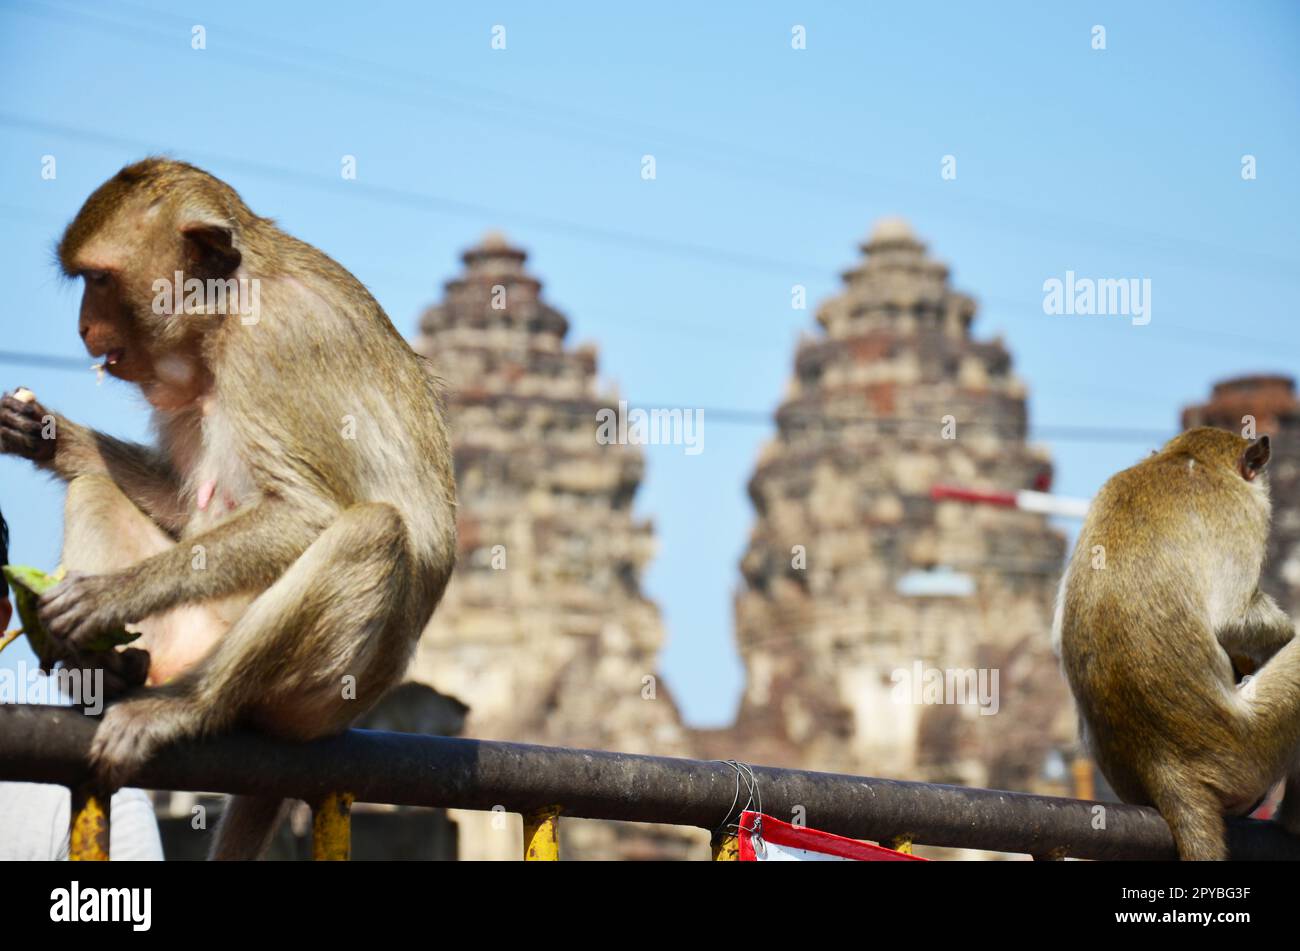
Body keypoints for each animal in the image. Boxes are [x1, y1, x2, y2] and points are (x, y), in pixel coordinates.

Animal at [0, 157, 457, 859]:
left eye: (99, 280)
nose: (82, 327)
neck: (226, 317)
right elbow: (180, 501)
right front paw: (46, 434)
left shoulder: (280, 345)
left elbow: (308, 512)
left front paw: (108, 595)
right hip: (178, 637)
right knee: (95, 488)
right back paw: (105, 670)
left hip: (321, 694)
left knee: (371, 532)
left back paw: (188, 706)